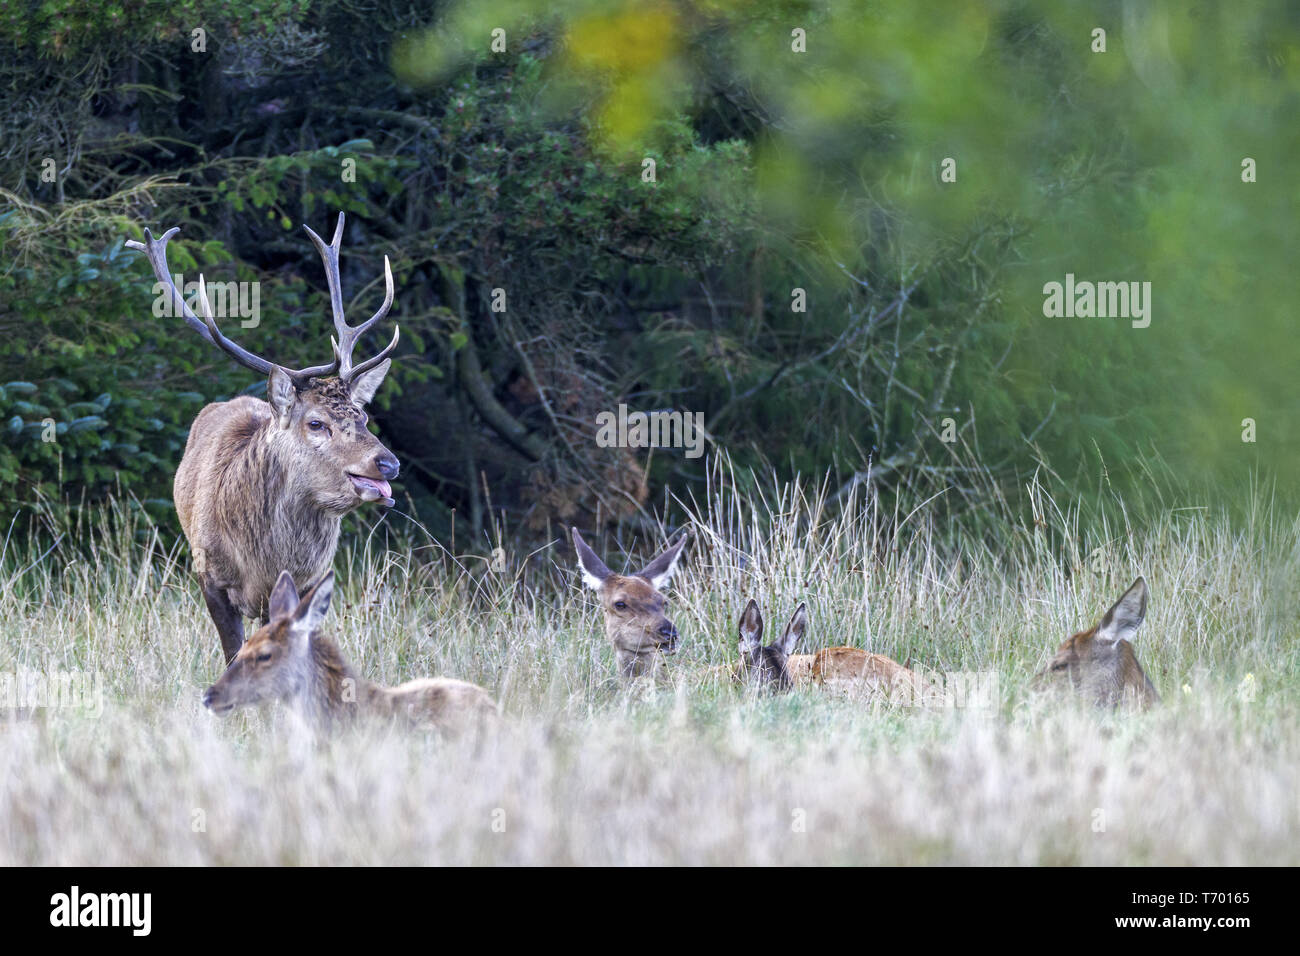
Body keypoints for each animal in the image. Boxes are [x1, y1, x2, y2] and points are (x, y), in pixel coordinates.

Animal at [127, 213, 400, 665]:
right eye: (316, 424)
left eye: (361, 415)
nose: (388, 463)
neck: (263, 562)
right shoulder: (209, 575)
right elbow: (234, 653)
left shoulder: (306, 584)